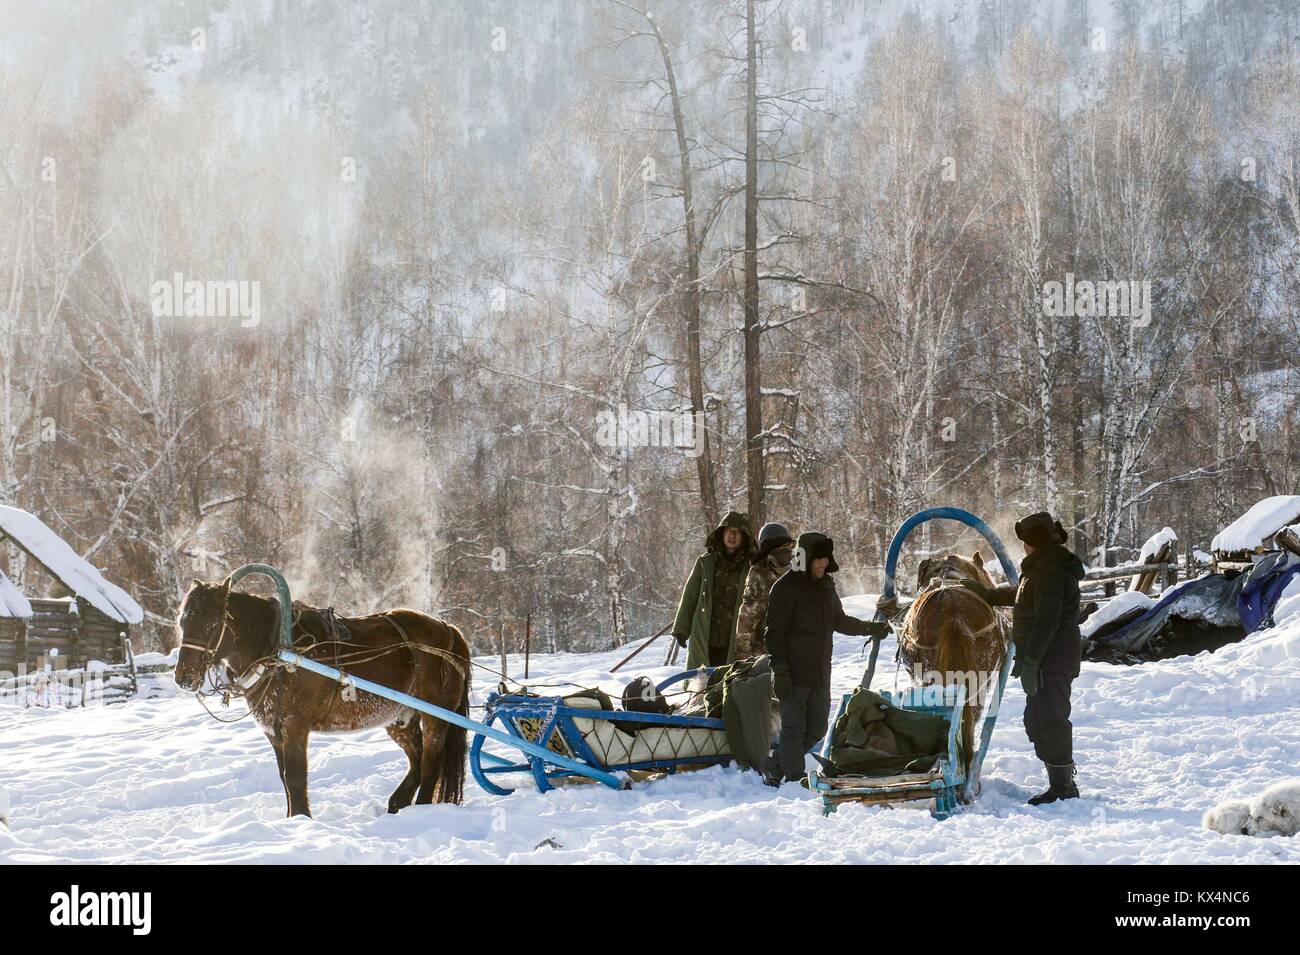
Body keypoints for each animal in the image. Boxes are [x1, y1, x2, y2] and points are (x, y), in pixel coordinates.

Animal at [173, 578, 470, 818]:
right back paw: (397, 804)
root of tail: (449, 630)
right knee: (417, 760)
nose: (183, 677)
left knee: (431, 761)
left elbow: (295, 777)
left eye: (212, 624)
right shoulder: (273, 731)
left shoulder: (294, 725)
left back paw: (421, 809)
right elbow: (284, 778)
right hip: (400, 718)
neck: (278, 652)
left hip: (434, 714)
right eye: (183, 621)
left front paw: (300, 820)